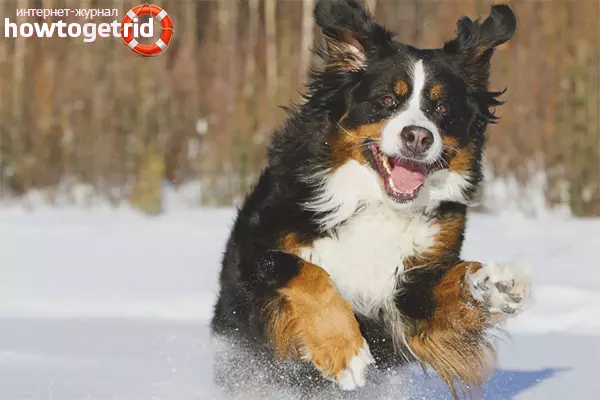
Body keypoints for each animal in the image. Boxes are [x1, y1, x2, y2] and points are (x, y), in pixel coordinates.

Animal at [211, 0, 528, 396]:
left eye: (442, 108)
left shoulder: (408, 301)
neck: (378, 205)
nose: (418, 136)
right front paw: (345, 352)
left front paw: (493, 284)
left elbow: (452, 286)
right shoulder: (254, 256)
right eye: (387, 100)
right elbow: (306, 272)